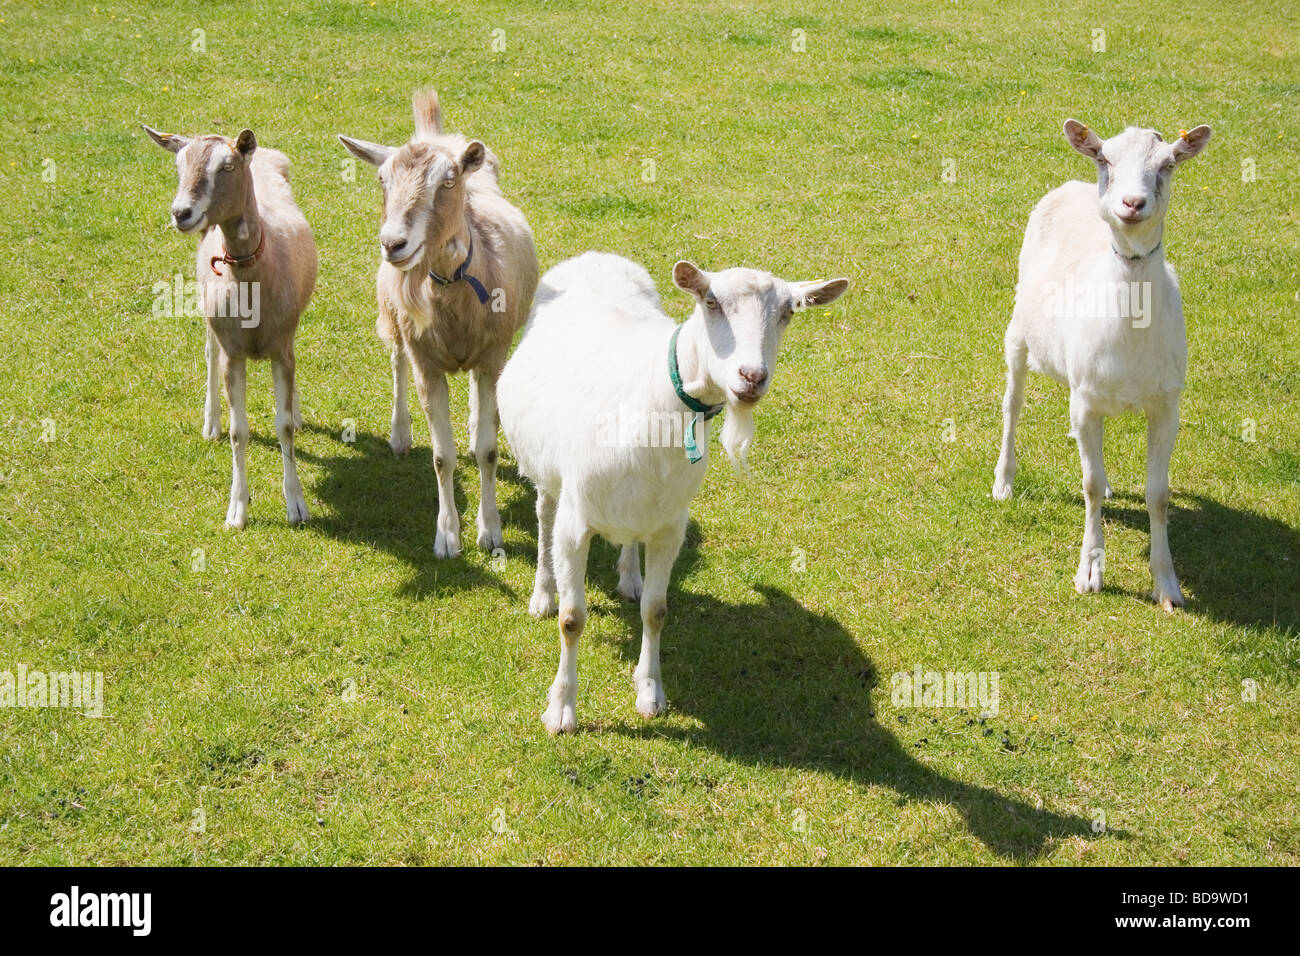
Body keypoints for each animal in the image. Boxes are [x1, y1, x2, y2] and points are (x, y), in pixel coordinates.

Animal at [145, 125, 317, 528]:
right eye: (179, 164)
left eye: (226, 166)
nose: (181, 213)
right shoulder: (233, 350)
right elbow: (241, 431)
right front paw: (237, 508)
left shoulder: (281, 346)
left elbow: (283, 425)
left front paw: (296, 505)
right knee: (209, 350)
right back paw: (211, 424)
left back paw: (298, 410)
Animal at [338, 90, 538, 557]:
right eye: (382, 180)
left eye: (448, 182)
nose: (394, 243)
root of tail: (434, 132)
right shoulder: (426, 362)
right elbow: (442, 456)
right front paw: (447, 536)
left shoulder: (493, 355)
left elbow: (487, 450)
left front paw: (490, 531)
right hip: (393, 314)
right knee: (396, 360)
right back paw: (400, 434)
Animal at [498, 252, 848, 733]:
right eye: (711, 302)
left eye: (788, 313)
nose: (752, 376)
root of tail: (597, 256)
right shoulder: (576, 520)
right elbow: (573, 620)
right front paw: (562, 710)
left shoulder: (671, 526)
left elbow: (656, 611)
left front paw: (649, 693)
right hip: (548, 472)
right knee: (544, 513)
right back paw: (543, 594)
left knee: (629, 540)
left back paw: (629, 577)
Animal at [993, 120, 1211, 610]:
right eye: (1105, 159)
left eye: (1168, 164)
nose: (1132, 203)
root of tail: (1070, 186)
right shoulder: (1085, 398)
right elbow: (1088, 485)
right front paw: (1090, 572)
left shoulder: (1167, 403)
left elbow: (1159, 495)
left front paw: (1167, 586)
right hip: (1017, 332)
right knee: (1012, 405)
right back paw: (1004, 481)